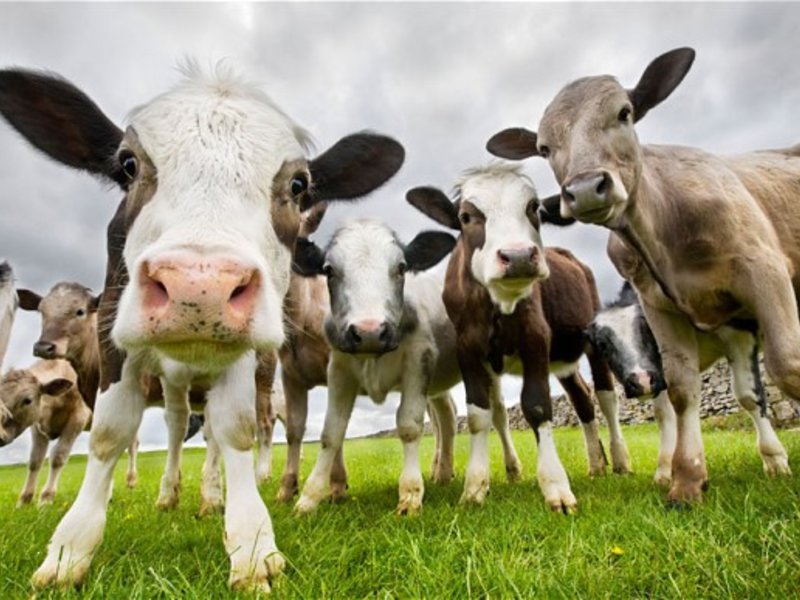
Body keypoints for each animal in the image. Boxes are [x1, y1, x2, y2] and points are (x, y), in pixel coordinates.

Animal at [0, 360, 86, 505]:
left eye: (27, 400)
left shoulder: (78, 418)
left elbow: (58, 457)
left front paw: (47, 497)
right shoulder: (37, 425)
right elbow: (35, 460)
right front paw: (25, 501)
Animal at [292, 218, 478, 515]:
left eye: (401, 267)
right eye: (328, 270)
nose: (369, 331)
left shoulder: (419, 359)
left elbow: (409, 425)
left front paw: (410, 495)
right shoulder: (339, 369)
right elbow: (332, 432)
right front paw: (308, 499)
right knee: (447, 416)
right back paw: (442, 473)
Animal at [407, 163, 630, 513]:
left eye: (534, 208)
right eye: (466, 216)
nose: (519, 256)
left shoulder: (535, 339)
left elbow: (537, 407)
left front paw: (556, 487)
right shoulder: (468, 349)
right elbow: (478, 414)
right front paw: (474, 487)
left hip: (594, 339)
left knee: (606, 396)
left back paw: (619, 460)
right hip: (563, 357)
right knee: (582, 398)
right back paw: (596, 464)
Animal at [588, 281, 788, 487]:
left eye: (648, 328)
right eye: (602, 344)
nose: (641, 380)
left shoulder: (738, 334)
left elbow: (747, 395)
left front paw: (774, 460)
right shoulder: (661, 373)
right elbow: (664, 414)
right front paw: (664, 470)